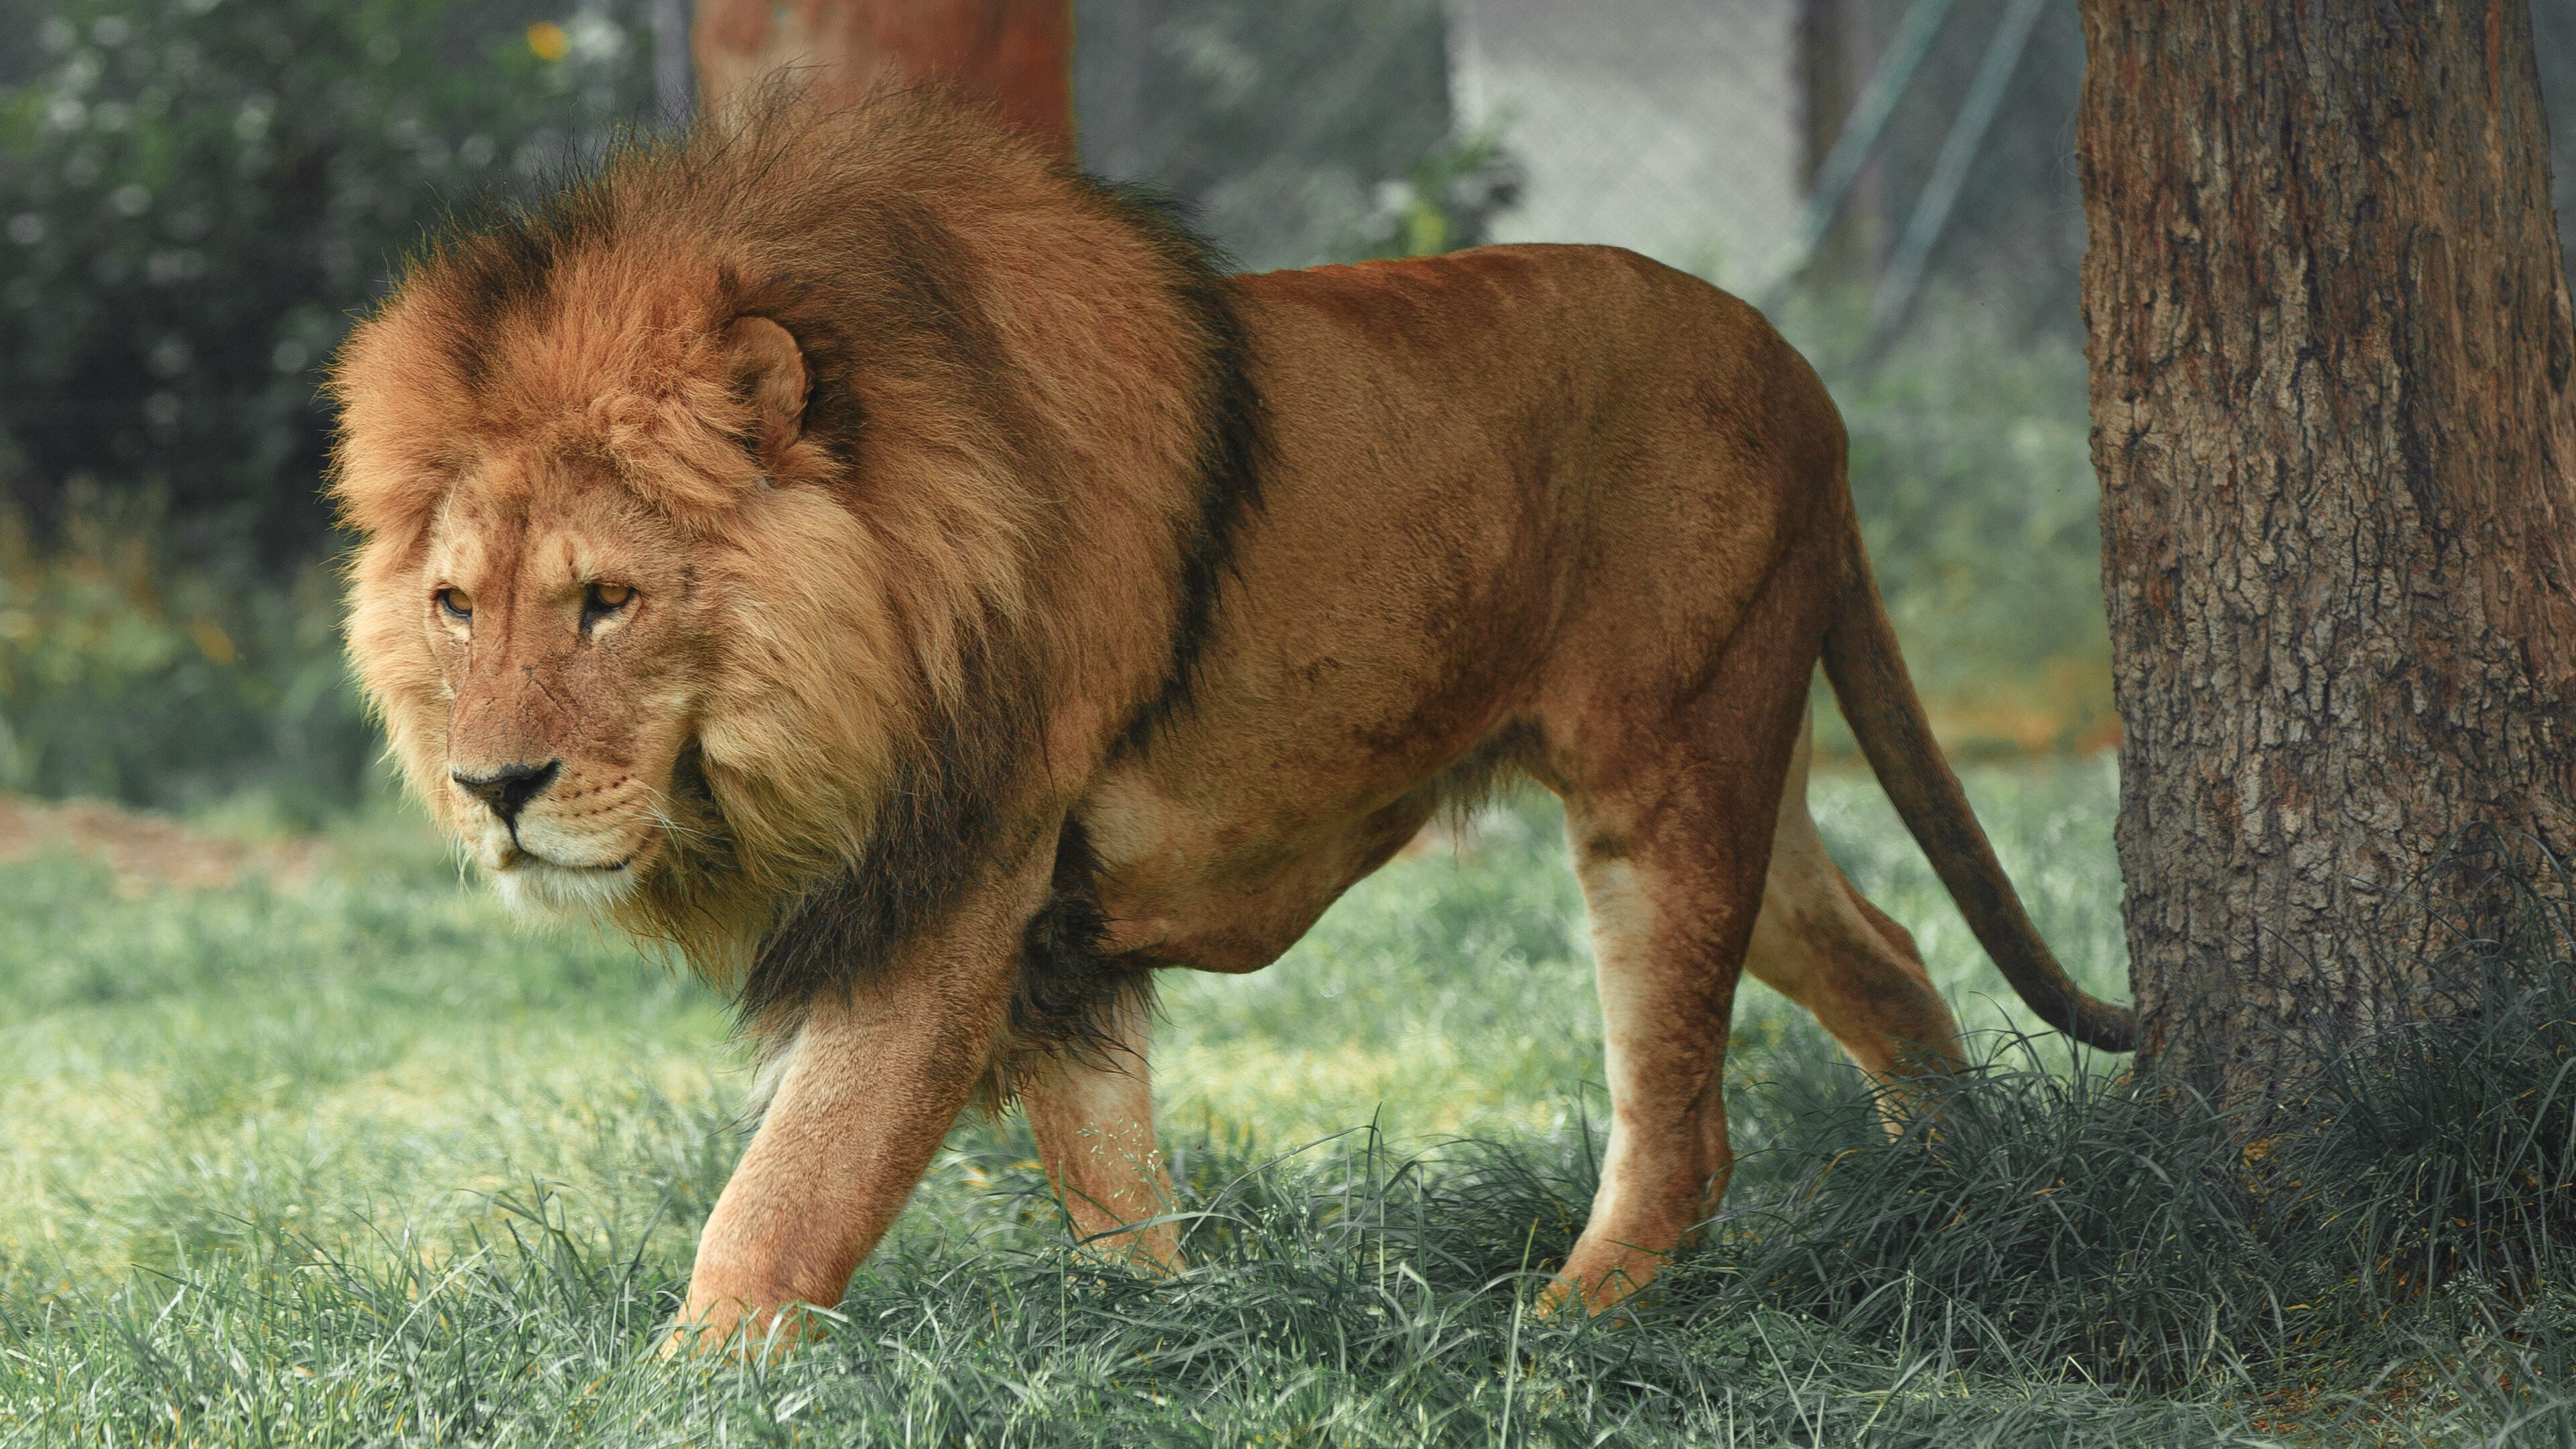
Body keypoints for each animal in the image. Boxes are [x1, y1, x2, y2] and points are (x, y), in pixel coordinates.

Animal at [330, 91, 2133, 1348]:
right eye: (456, 606)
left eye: (606, 600)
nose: (494, 788)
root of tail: (1802, 375)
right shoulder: (1048, 934)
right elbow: (1110, 1179)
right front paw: (1162, 1338)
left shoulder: (956, 886)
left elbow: (788, 1196)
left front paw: (682, 1385)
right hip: (1730, 761)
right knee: (1880, 951)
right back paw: (1958, 1195)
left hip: (1668, 772)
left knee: (1682, 1129)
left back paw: (1554, 1335)